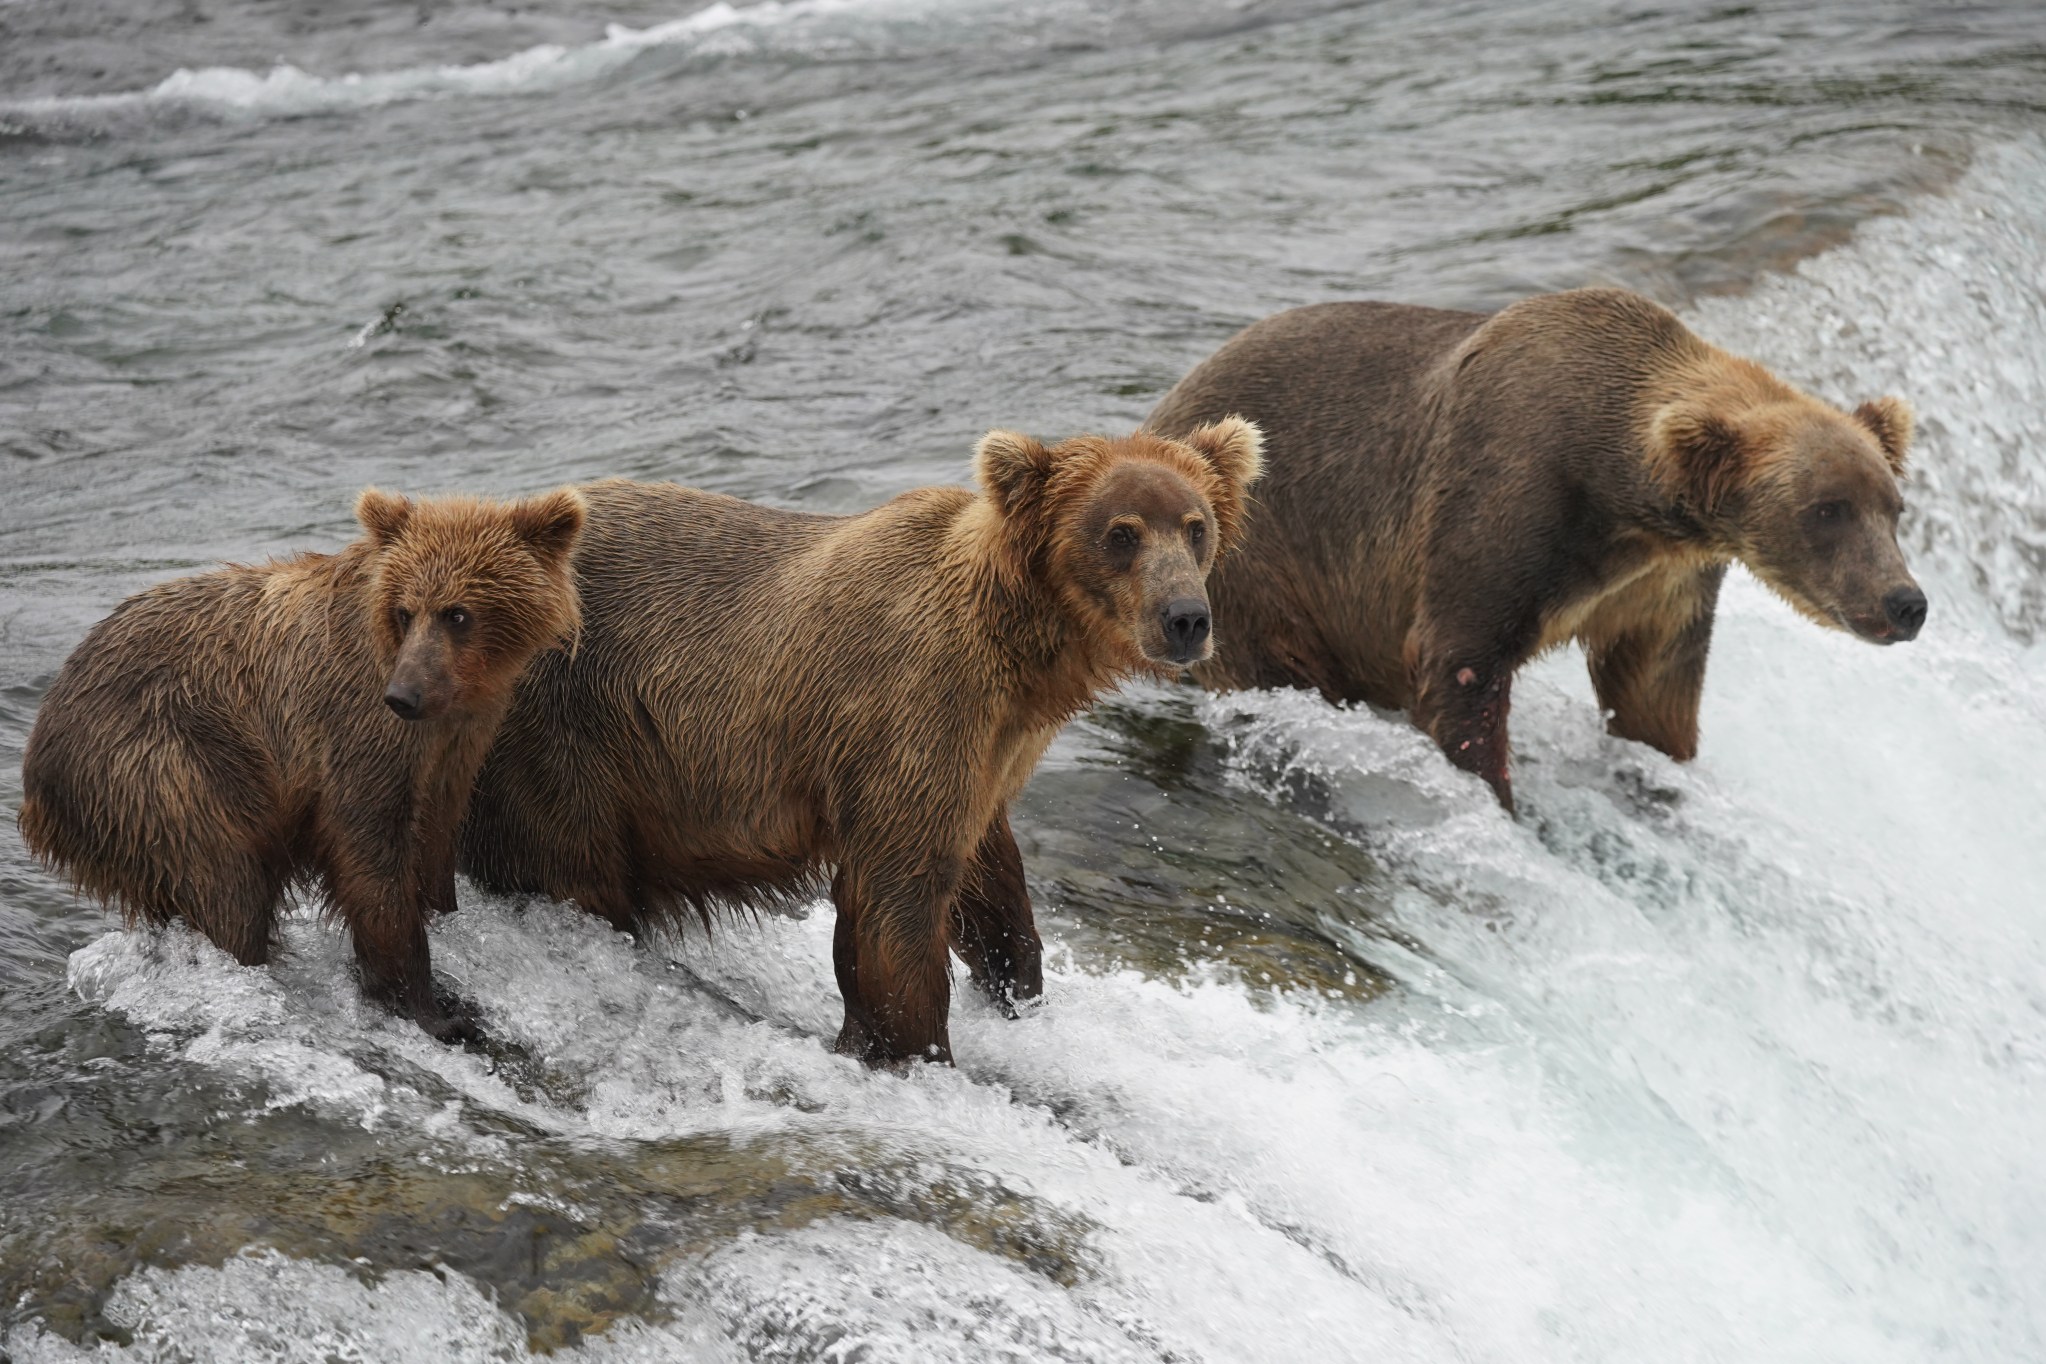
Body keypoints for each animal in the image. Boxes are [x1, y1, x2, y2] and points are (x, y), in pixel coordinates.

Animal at [18, 486, 586, 1038]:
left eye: (458, 613)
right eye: (406, 611)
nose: (403, 696)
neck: (459, 695)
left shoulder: (455, 744)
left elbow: (433, 834)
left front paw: (441, 916)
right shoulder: (356, 724)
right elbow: (368, 846)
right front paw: (430, 1006)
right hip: (164, 762)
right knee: (228, 882)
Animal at [459, 420, 1264, 1066]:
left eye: (1195, 525)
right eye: (1121, 533)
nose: (1186, 618)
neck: (1024, 650)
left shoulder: (991, 747)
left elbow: (986, 873)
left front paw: (1017, 985)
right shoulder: (910, 706)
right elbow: (896, 890)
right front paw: (910, 1047)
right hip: (568, 734)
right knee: (570, 864)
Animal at [1146, 287, 1924, 811]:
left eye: (1893, 507)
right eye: (1826, 510)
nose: (1905, 603)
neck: (1623, 496)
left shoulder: (1660, 581)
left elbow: (1656, 688)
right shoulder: (1508, 498)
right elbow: (1461, 662)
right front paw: (1496, 798)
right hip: (1250, 571)